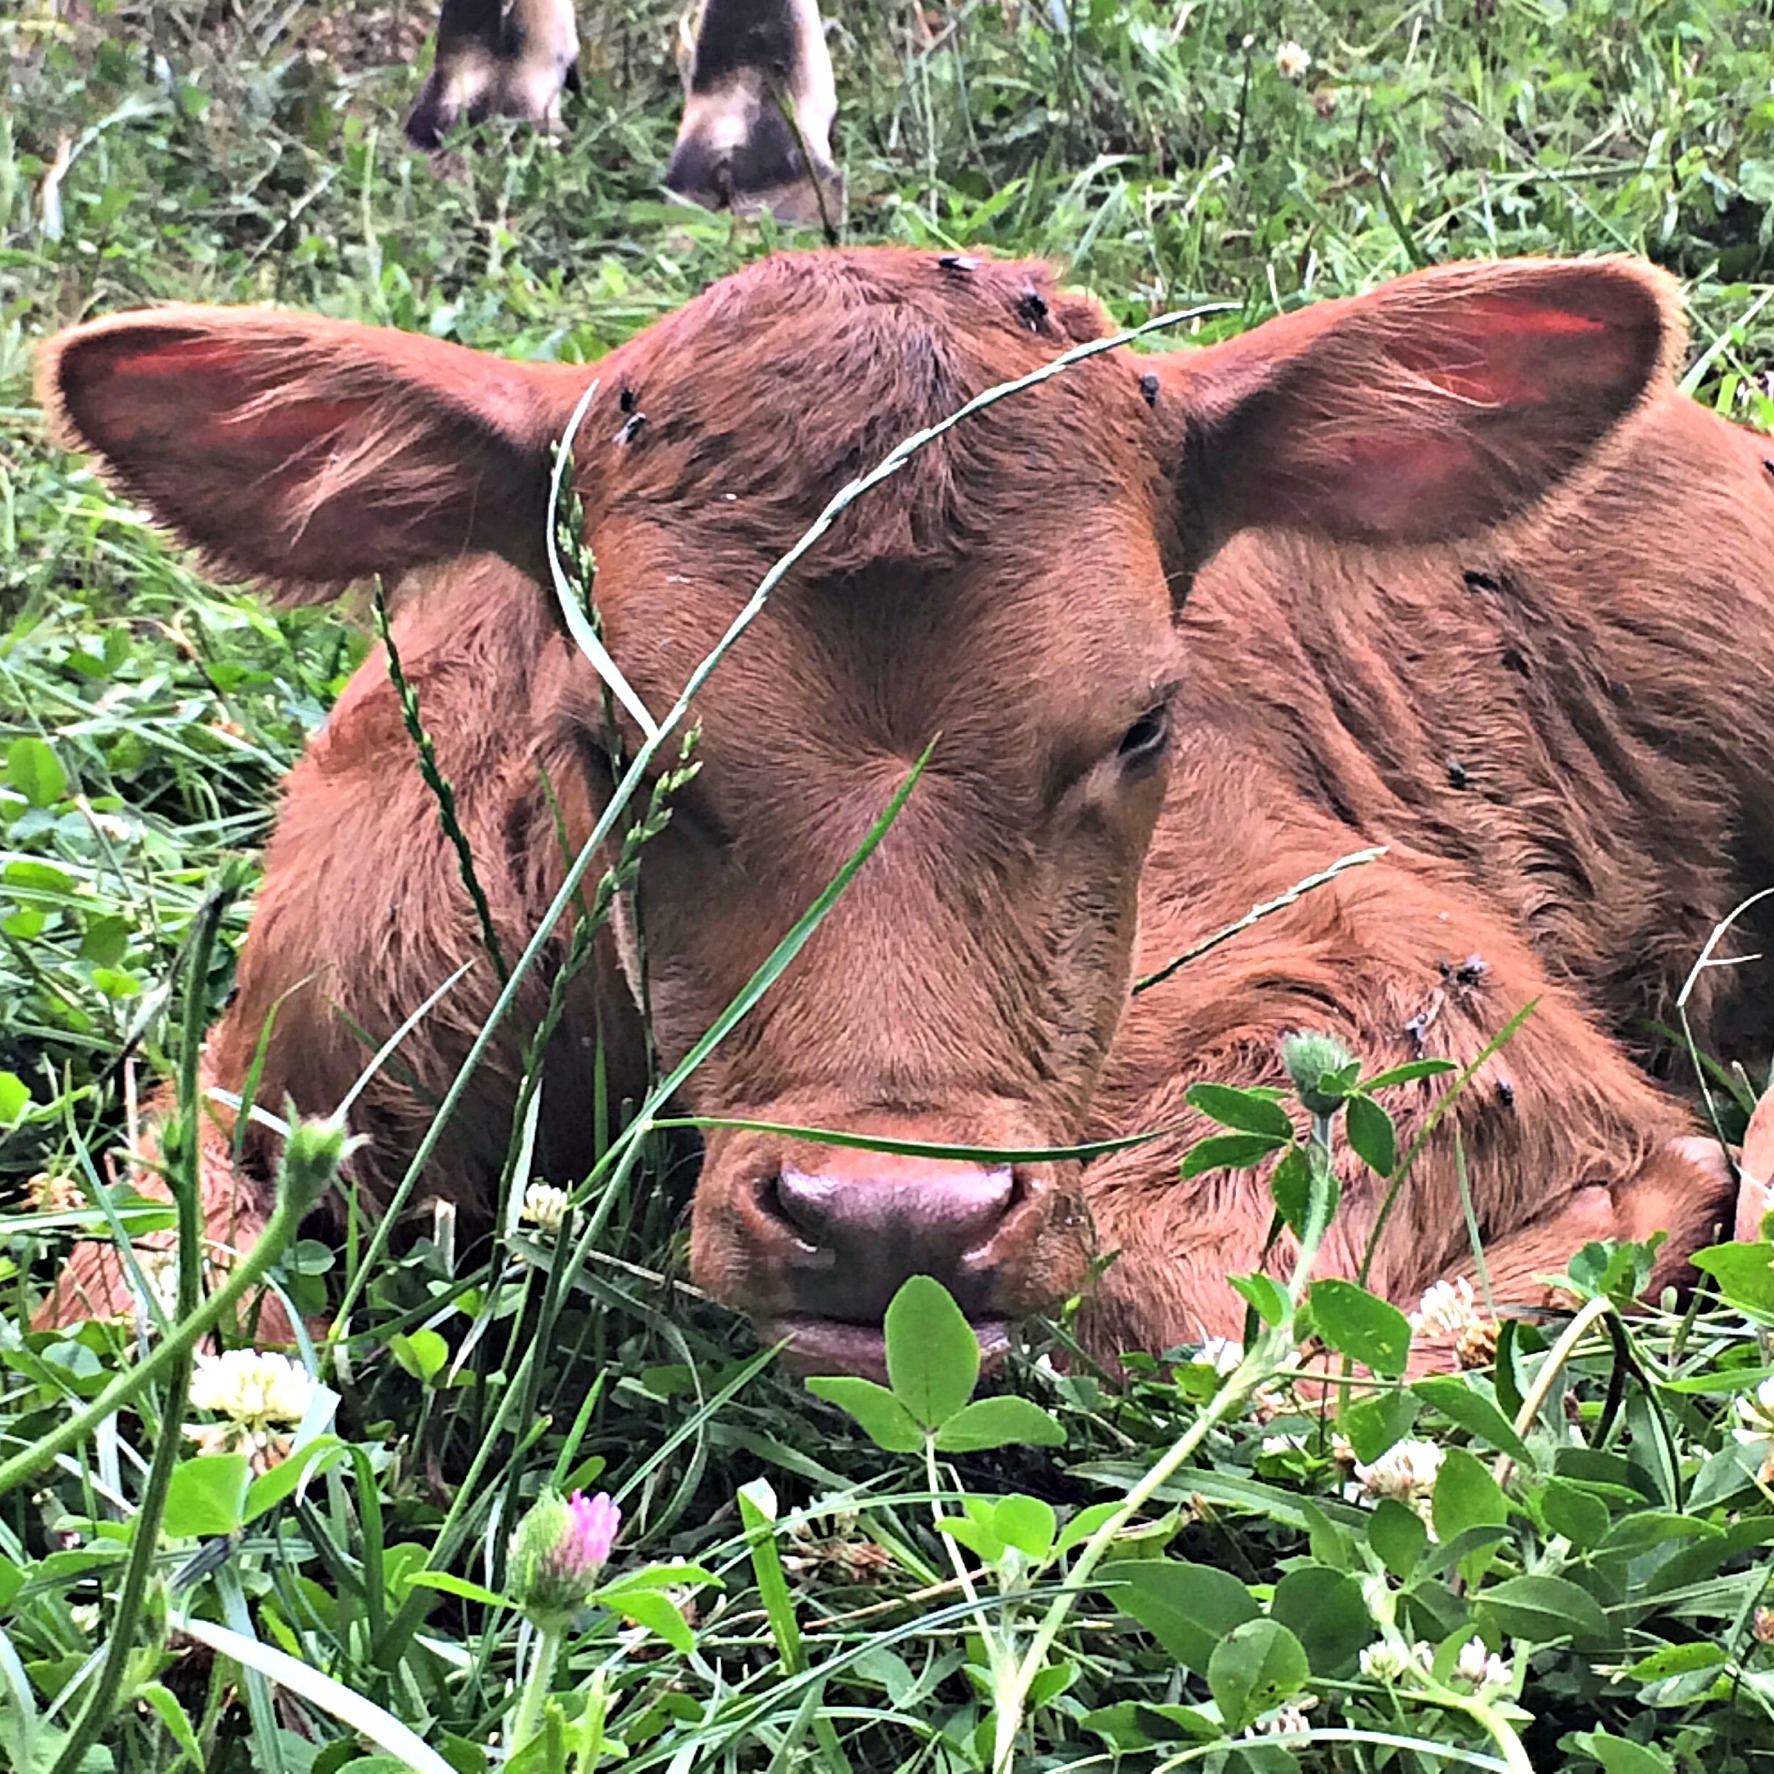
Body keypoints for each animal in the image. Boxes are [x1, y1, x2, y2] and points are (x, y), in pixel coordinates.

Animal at [34, 248, 1774, 1376]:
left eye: (1146, 717)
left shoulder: (1407, 963)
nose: (889, 1216)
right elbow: (129, 1324)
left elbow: (1188, 1300)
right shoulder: (273, 1056)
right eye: (614, 736)